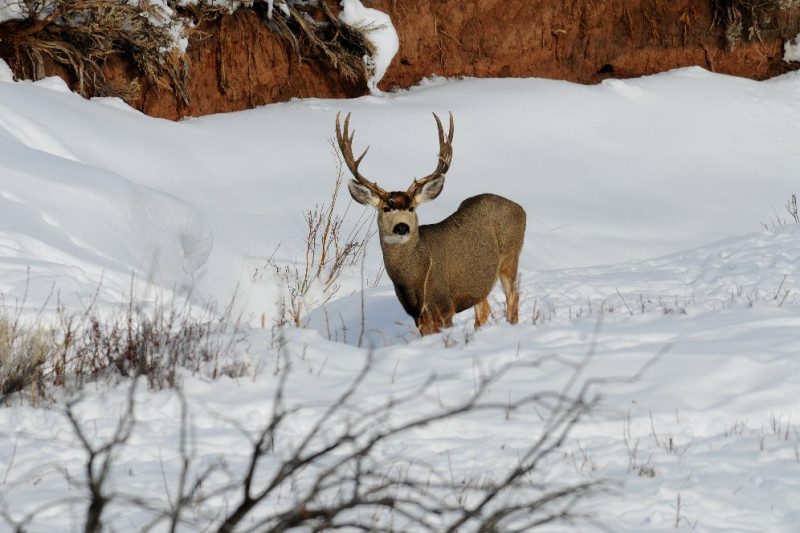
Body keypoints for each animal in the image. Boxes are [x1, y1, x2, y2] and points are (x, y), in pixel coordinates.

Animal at [335, 112, 527, 335]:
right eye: (386, 209)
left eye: (412, 208)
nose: (402, 227)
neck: (414, 277)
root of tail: (520, 208)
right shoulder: (417, 314)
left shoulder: (444, 305)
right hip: (479, 283)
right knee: (484, 309)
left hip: (510, 257)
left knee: (513, 300)